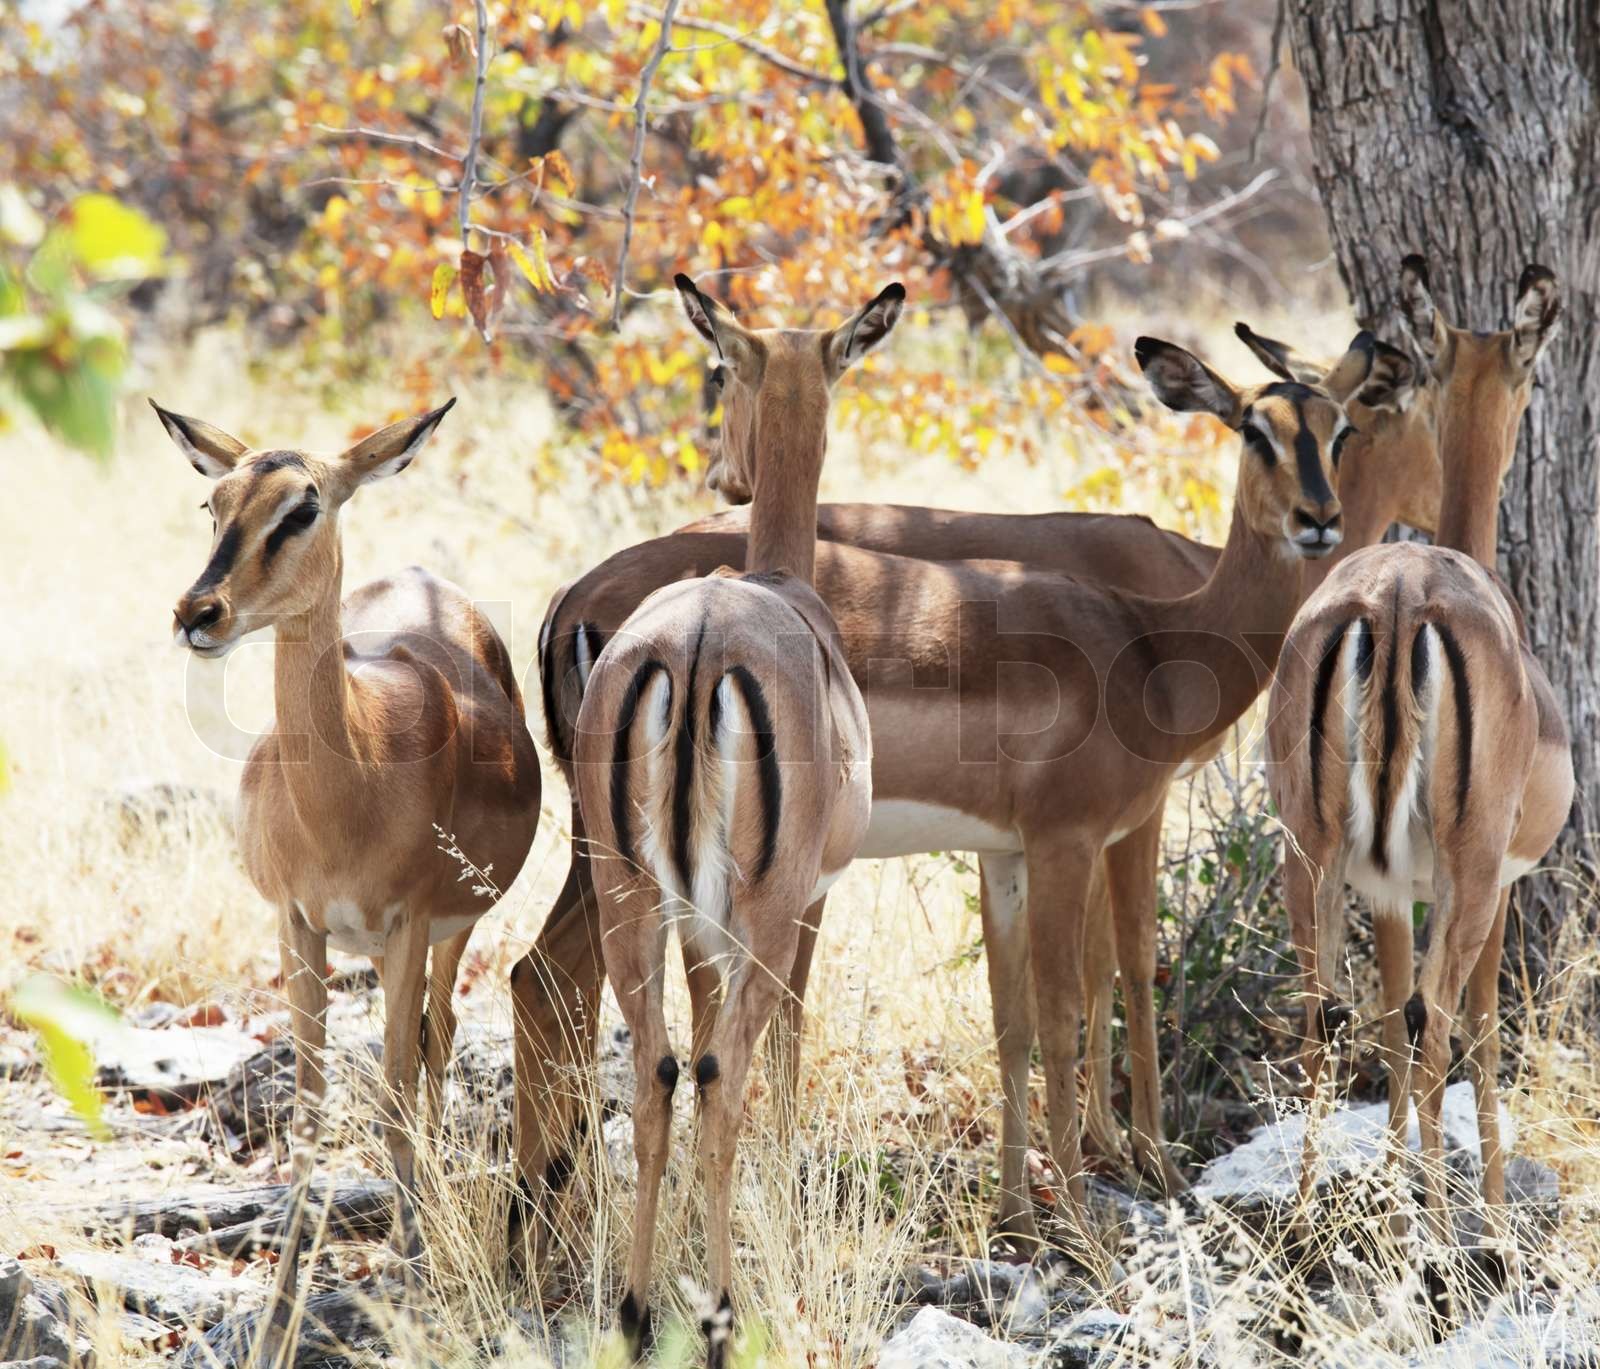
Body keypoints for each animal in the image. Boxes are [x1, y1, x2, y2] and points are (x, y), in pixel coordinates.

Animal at [158, 400, 541, 1342]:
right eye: (213, 501)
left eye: (304, 506)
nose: (199, 611)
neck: (352, 784)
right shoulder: (296, 922)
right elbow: (308, 1107)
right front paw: (273, 1325)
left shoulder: (408, 925)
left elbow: (396, 1094)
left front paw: (413, 1286)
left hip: (453, 934)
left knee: (437, 1043)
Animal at [574, 275, 902, 1362]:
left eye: (719, 372)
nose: (723, 475)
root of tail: (700, 641)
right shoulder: (808, 902)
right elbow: (792, 1047)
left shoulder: (698, 923)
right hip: (754, 909)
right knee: (720, 1072)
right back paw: (719, 1314)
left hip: (627, 895)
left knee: (657, 1068)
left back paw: (637, 1312)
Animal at [1266, 257, 1570, 1301]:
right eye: (1530, 375)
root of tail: (1398, 596)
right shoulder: (1497, 884)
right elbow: (1481, 1031)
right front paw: (1481, 1224)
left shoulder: (1392, 889)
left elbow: (1389, 1034)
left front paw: (1393, 1207)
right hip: (1468, 872)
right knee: (1436, 1021)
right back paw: (1443, 1247)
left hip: (1307, 857)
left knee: (1324, 1015)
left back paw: (1305, 1236)